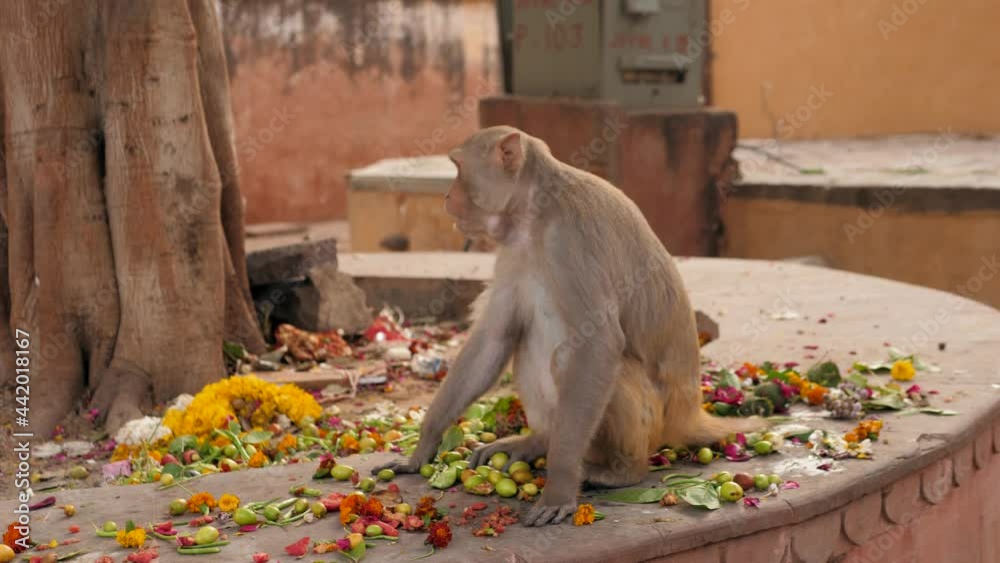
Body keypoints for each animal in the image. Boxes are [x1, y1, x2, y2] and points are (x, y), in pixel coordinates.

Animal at [373, 126, 760, 526]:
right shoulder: (513, 250)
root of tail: (689, 412)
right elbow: (494, 339)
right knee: (528, 341)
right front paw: (424, 446)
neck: (536, 212)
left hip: (656, 423)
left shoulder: (574, 237)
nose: (448, 196)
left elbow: (598, 344)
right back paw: (539, 440)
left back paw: (621, 471)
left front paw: (558, 486)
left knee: (577, 359)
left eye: (457, 167)